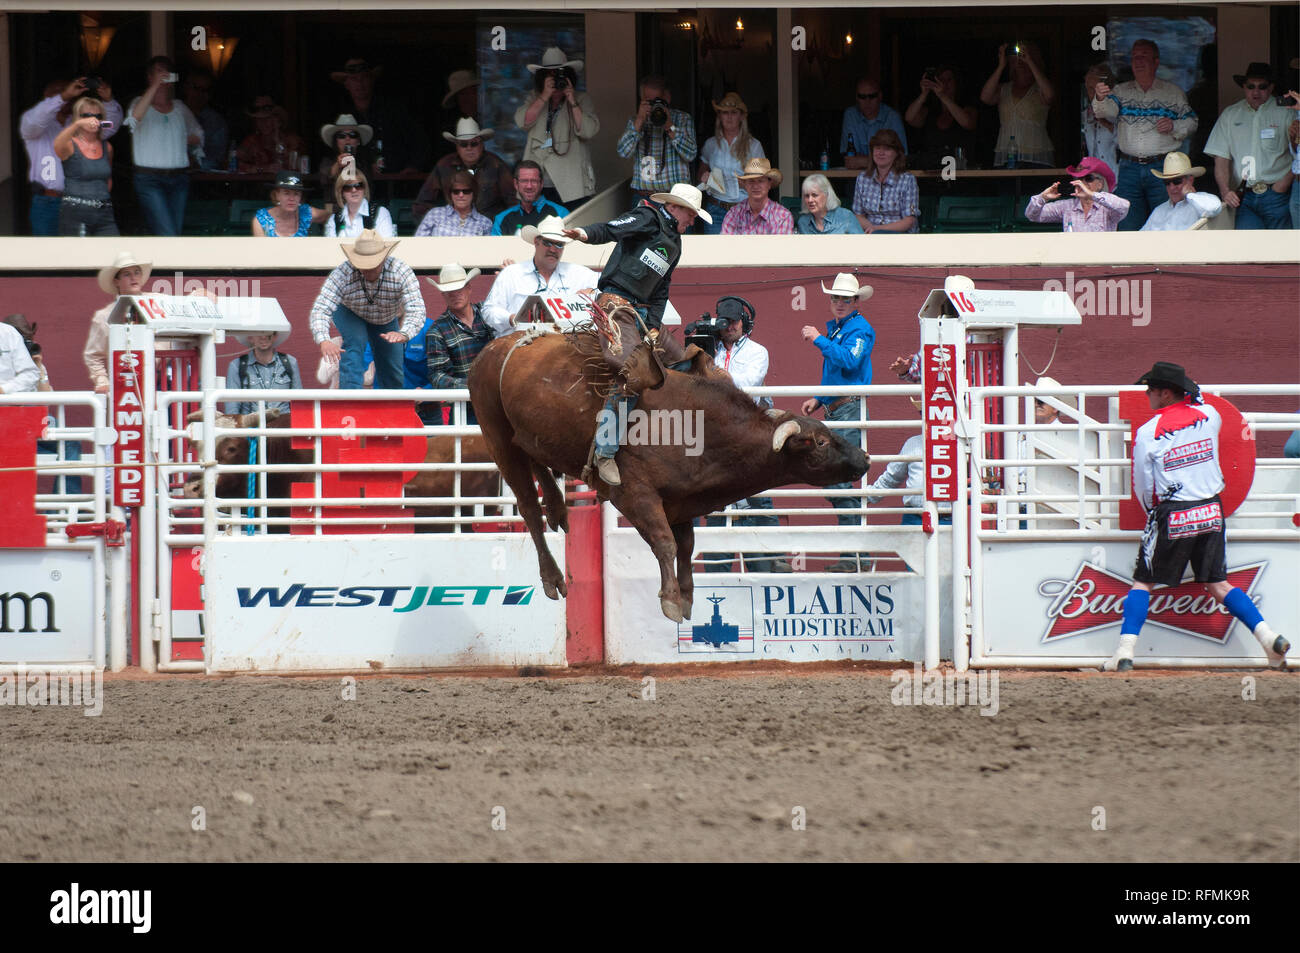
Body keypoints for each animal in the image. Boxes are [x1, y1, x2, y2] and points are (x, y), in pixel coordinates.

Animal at [468, 327, 869, 622]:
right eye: (819, 442)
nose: (864, 458)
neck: (697, 427)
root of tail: (495, 346)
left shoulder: (682, 500)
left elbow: (687, 545)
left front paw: (689, 597)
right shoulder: (635, 494)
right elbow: (665, 542)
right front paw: (672, 600)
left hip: (526, 434)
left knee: (536, 459)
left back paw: (557, 506)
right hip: (496, 434)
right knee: (528, 508)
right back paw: (552, 576)